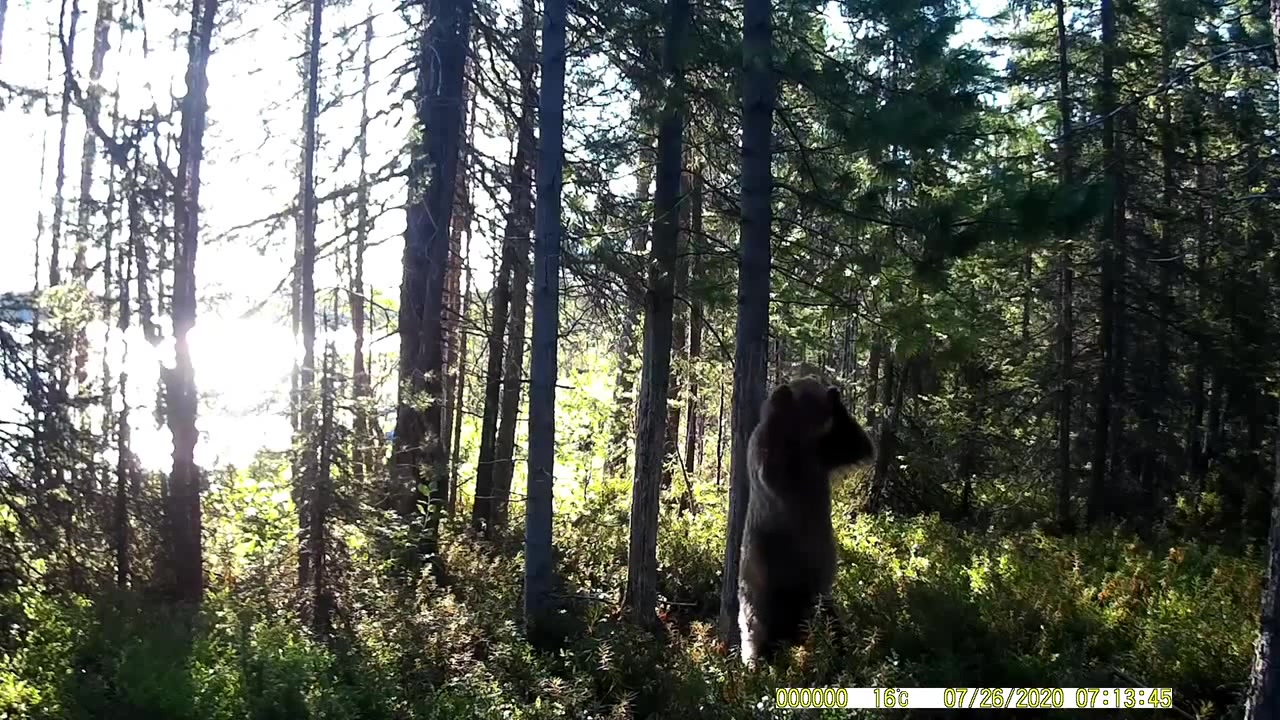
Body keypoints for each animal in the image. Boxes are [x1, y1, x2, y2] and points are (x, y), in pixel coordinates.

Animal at [737, 375, 876, 665]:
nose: (830, 390)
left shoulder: (825, 454)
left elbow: (858, 445)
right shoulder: (773, 461)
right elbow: (775, 471)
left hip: (817, 600)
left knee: (832, 625)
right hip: (766, 589)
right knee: (758, 633)